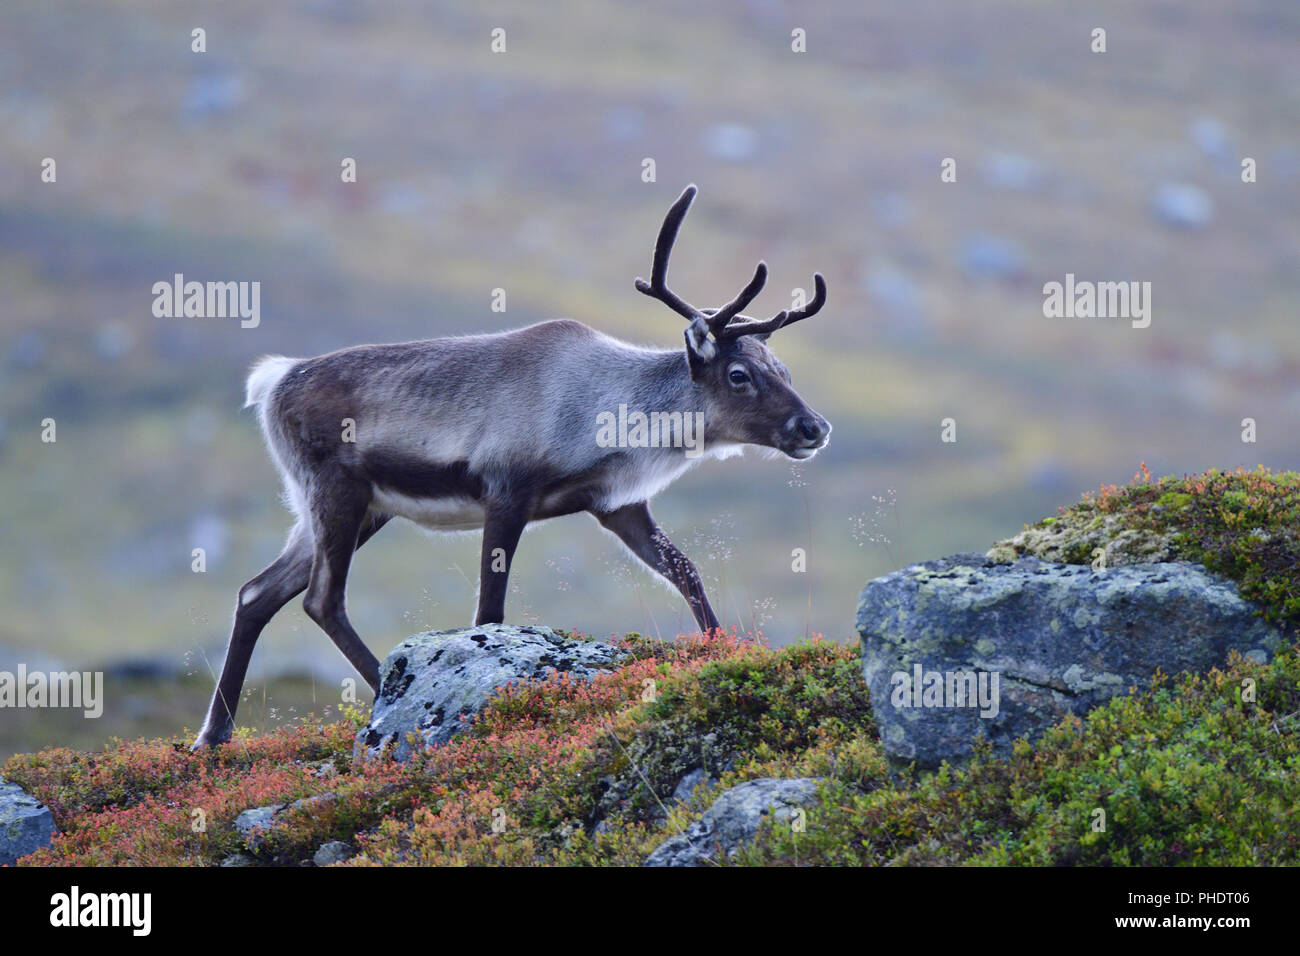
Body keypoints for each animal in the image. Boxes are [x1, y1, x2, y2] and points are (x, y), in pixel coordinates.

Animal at [192, 185, 831, 749]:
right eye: (739, 375)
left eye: (784, 369)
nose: (814, 428)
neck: (607, 412)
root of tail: (273, 381)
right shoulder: (507, 493)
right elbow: (490, 612)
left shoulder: (618, 505)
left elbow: (688, 574)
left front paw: (723, 654)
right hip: (337, 493)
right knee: (321, 599)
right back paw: (384, 692)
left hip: (358, 509)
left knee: (256, 594)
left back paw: (214, 735)